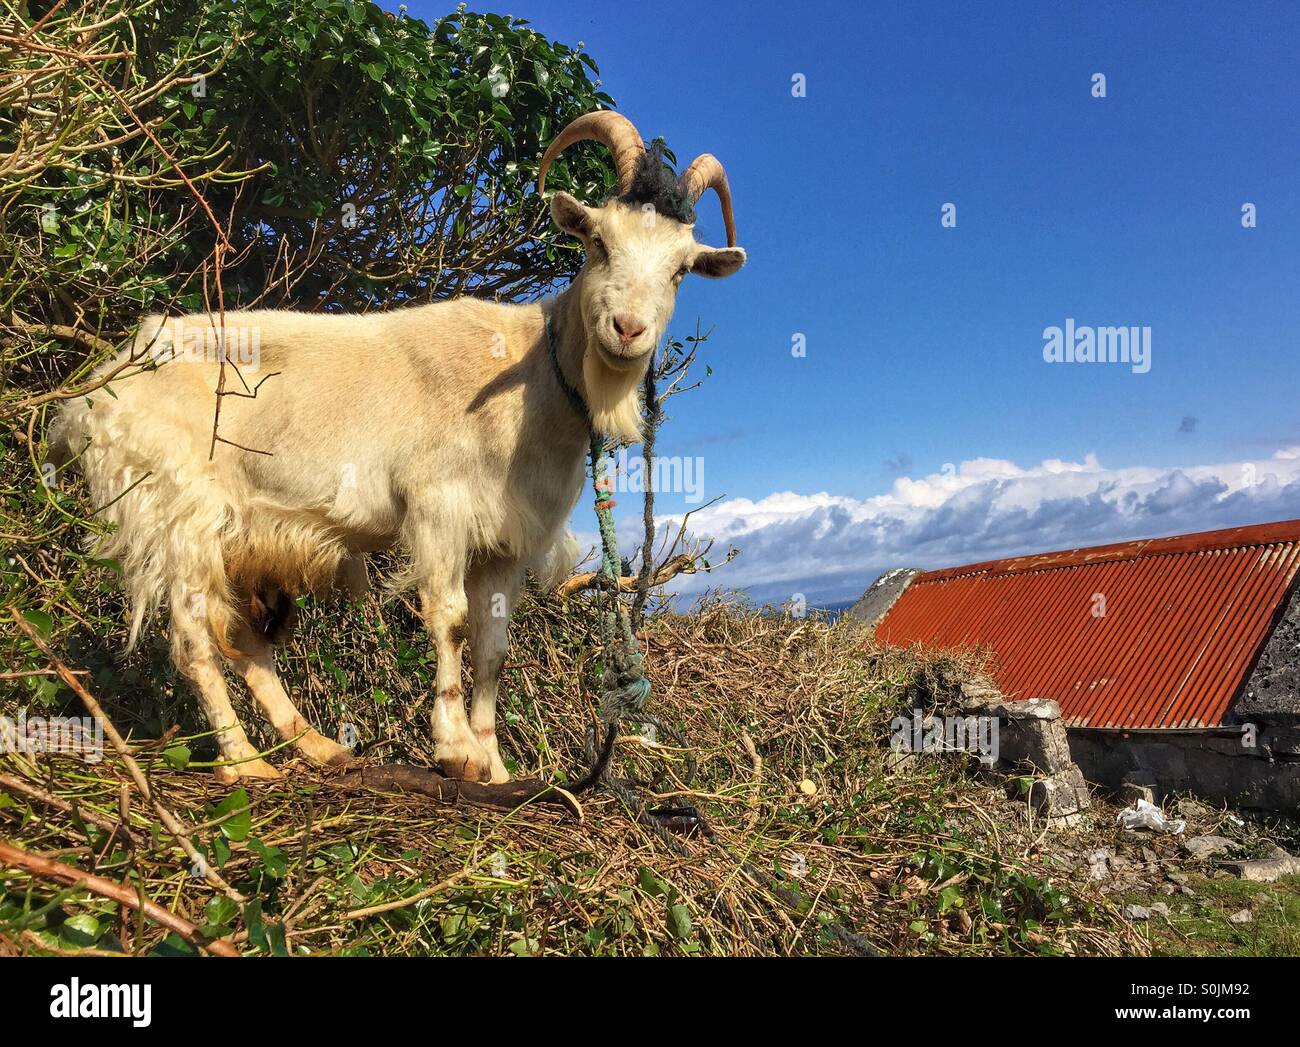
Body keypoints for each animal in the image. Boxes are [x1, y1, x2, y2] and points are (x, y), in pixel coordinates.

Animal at [48, 111, 746, 783]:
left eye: (681, 269)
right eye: (599, 241)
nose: (627, 330)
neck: (532, 375)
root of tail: (96, 391)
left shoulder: (509, 538)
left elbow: (494, 643)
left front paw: (495, 765)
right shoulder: (437, 506)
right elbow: (450, 617)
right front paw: (456, 750)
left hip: (241, 532)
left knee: (242, 639)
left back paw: (319, 748)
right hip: (176, 507)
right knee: (193, 634)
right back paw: (244, 761)